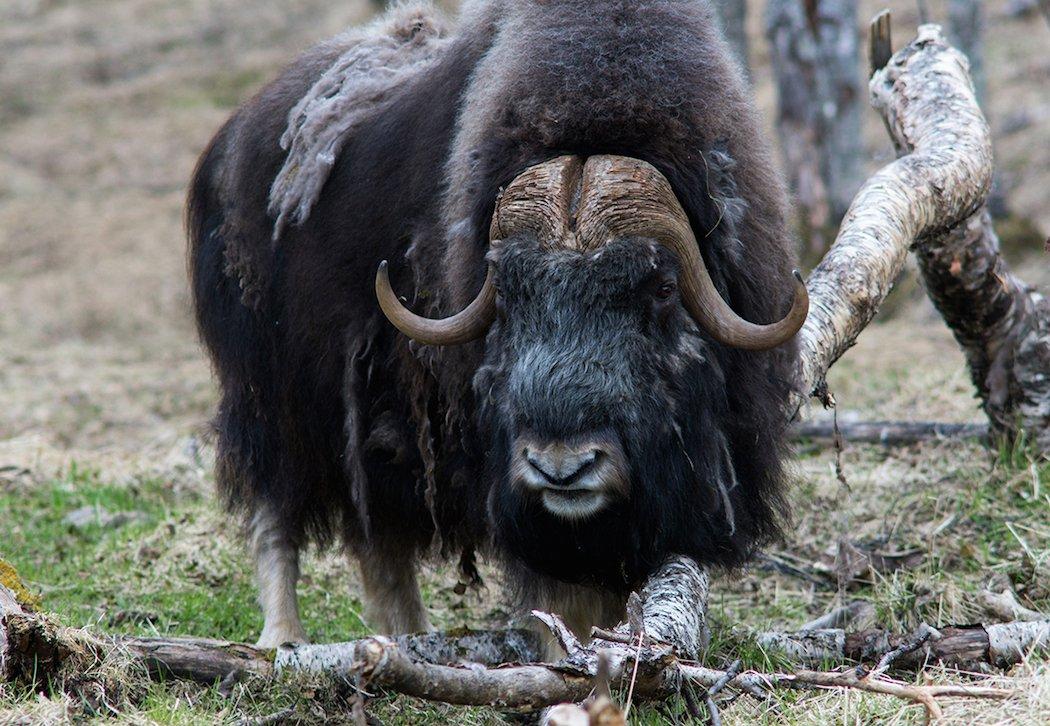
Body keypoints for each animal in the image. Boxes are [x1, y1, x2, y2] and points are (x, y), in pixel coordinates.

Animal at [188, 0, 807, 649]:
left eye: (661, 289)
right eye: (506, 294)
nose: (561, 468)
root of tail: (233, 134)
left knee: (379, 546)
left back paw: (409, 638)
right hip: (273, 399)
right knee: (276, 512)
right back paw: (284, 640)